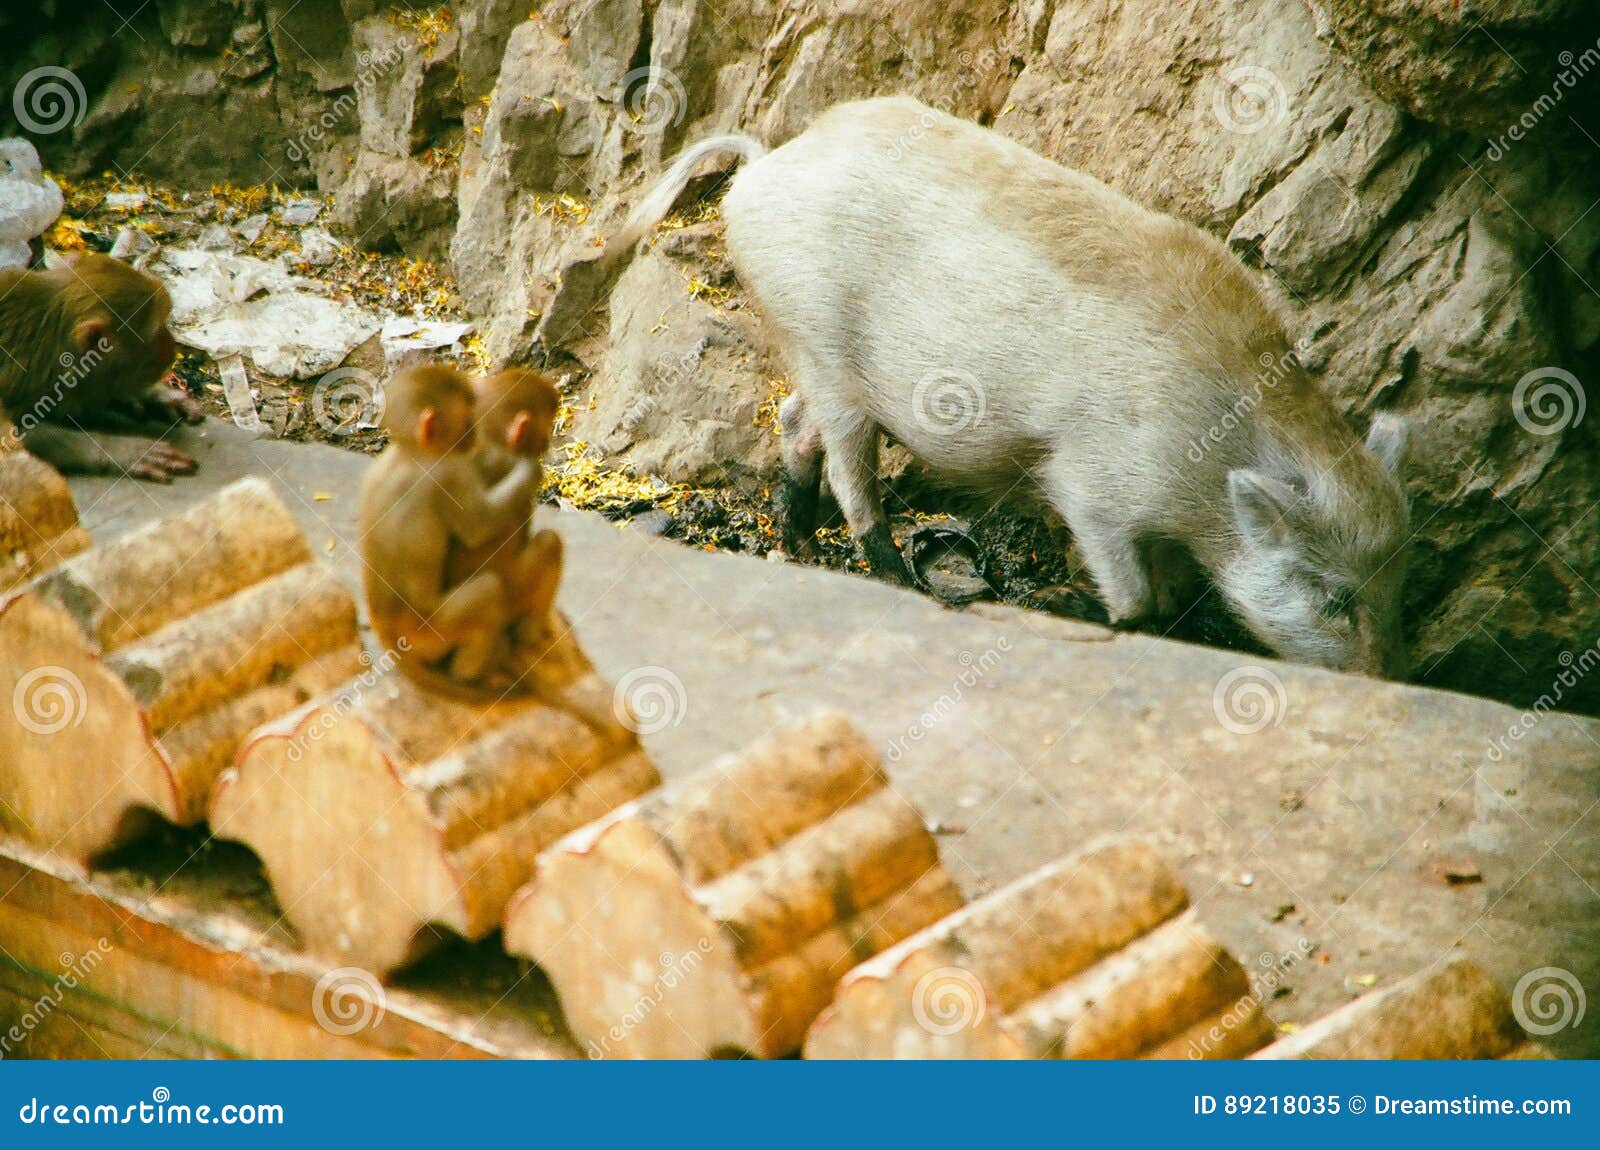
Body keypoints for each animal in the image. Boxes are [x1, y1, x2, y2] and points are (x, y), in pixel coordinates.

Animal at [360, 364, 544, 700]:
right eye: (466, 417)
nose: (472, 432)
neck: (411, 453)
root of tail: (388, 629)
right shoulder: (450, 473)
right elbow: (480, 526)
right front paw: (529, 468)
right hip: (430, 631)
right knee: (489, 591)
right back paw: (471, 676)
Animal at [608, 96, 1410, 677]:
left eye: (1401, 581)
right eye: (1334, 596)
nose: (1384, 678)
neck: (1215, 463)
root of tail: (766, 164)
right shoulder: (1091, 485)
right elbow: (1135, 594)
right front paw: (1085, 611)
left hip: (813, 358)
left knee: (792, 419)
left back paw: (802, 543)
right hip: (825, 348)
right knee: (842, 465)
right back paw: (897, 578)